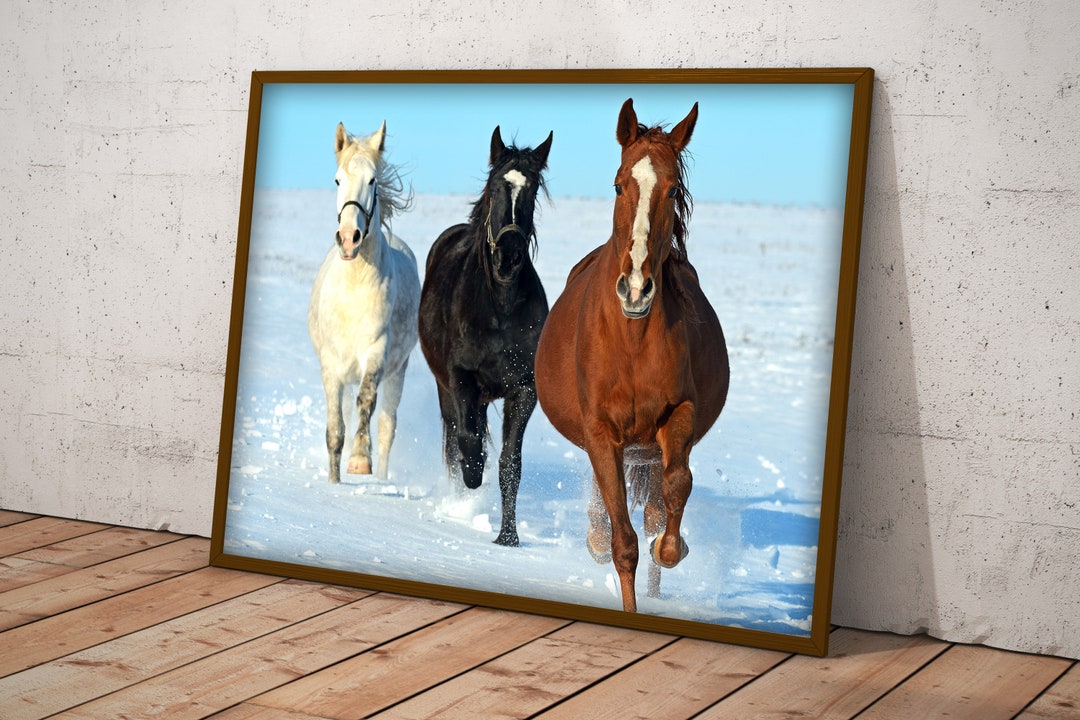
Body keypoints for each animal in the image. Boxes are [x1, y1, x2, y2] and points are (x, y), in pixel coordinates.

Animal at [308, 121, 421, 484]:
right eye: (337, 180)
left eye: (372, 180)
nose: (348, 238)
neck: (354, 289)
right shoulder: (331, 367)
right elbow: (335, 430)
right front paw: (334, 482)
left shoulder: (376, 352)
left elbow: (367, 400)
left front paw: (359, 461)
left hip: (398, 371)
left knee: (386, 426)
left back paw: (381, 479)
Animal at [418, 126, 553, 547]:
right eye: (496, 186)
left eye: (533, 189)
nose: (508, 256)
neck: (500, 306)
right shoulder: (461, 378)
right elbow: (469, 443)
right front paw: (472, 480)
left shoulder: (524, 389)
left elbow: (510, 463)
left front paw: (508, 537)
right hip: (446, 387)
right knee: (456, 437)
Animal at [534, 98, 729, 612]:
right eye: (619, 184)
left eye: (673, 188)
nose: (637, 288)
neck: (632, 340)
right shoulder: (601, 431)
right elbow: (622, 544)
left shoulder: (677, 415)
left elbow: (675, 491)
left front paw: (672, 548)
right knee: (607, 516)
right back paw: (596, 539)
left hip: (647, 449)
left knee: (658, 502)